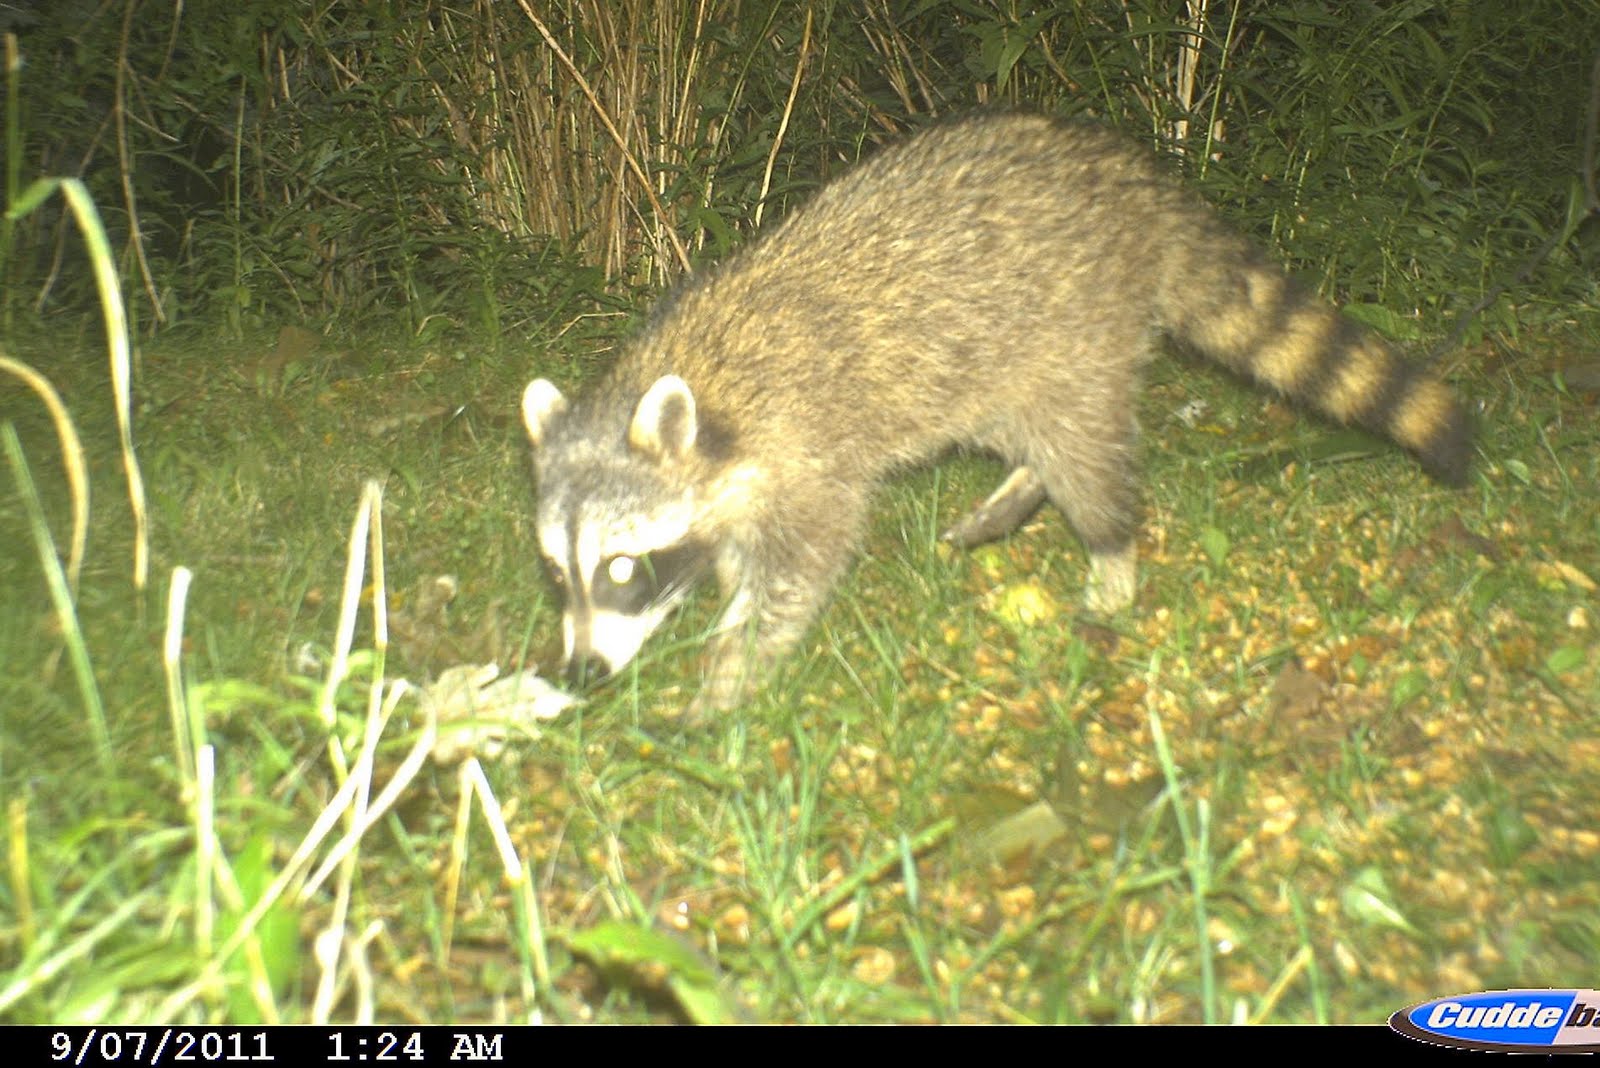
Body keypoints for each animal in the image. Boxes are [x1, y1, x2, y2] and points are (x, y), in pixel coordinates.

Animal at [521, 111, 1471, 712]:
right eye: (558, 575)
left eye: (621, 568)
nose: (581, 675)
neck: (699, 388)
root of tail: (1138, 181)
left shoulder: (806, 457)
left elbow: (800, 568)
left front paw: (729, 674)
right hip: (994, 355)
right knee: (1029, 431)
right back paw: (1022, 490)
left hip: (1072, 319)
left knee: (1081, 444)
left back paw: (1108, 548)